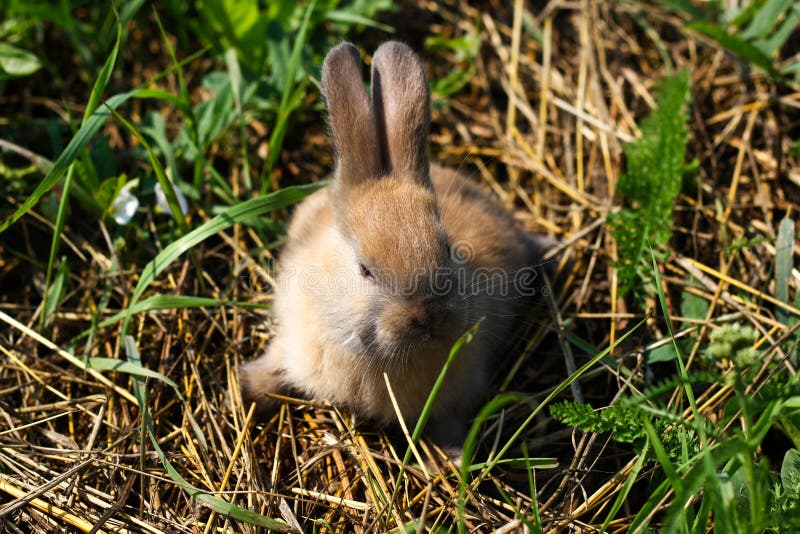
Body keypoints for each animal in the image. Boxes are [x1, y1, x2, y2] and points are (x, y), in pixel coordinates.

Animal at [239, 41, 550, 450]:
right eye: (364, 269)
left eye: (448, 248)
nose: (429, 316)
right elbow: (276, 366)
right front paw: (243, 390)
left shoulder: (455, 398)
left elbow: (447, 423)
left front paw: (452, 455)